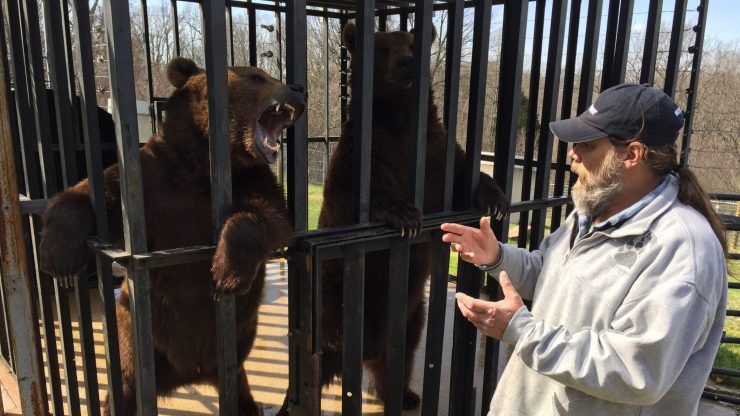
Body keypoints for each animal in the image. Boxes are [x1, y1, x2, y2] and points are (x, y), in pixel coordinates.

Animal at [38, 57, 306, 415]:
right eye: (256, 78)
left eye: (266, 75)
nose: (297, 88)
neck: (199, 169)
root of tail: (190, 374)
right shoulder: (150, 180)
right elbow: (88, 195)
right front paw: (60, 260)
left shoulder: (253, 180)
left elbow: (269, 220)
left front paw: (225, 274)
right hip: (136, 347)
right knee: (122, 391)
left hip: (232, 366)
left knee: (242, 399)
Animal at [304, 24, 509, 410]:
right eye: (383, 48)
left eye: (414, 45)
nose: (406, 63)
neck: (399, 120)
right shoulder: (365, 154)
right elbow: (357, 194)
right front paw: (405, 215)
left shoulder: (436, 150)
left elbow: (462, 175)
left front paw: (496, 198)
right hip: (336, 302)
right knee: (320, 354)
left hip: (412, 314)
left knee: (402, 355)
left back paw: (406, 394)